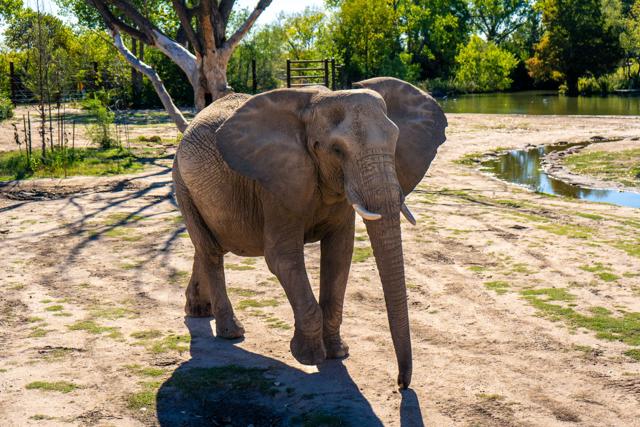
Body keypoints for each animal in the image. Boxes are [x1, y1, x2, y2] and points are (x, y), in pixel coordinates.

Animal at [172, 77, 447, 388]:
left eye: (395, 141)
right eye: (335, 150)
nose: (401, 384)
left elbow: (340, 254)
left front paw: (338, 352)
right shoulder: (276, 182)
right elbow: (282, 258)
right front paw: (309, 357)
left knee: (205, 247)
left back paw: (198, 311)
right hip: (181, 183)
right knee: (210, 252)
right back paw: (231, 332)